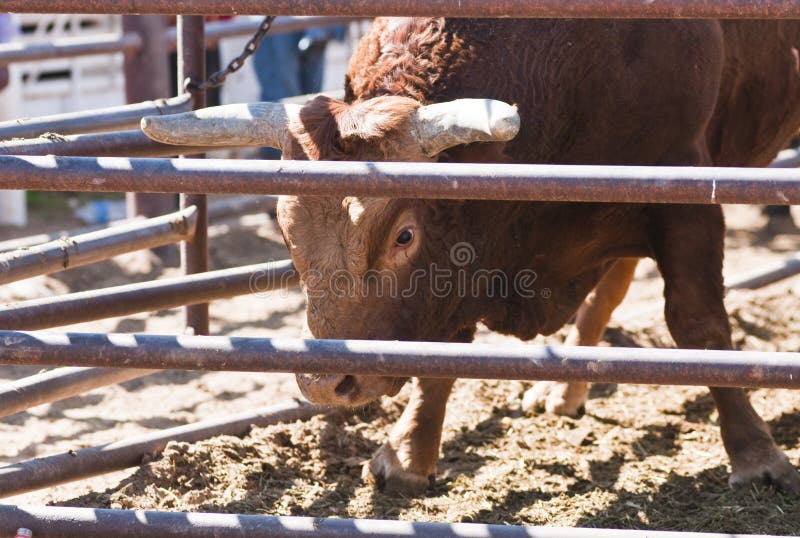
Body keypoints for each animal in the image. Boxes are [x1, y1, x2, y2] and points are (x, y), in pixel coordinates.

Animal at [142, 18, 800, 496]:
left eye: (404, 236)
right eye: (286, 228)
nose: (326, 383)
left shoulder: (684, 196)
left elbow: (700, 325)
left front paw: (756, 455)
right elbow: (443, 351)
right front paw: (409, 452)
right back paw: (566, 390)